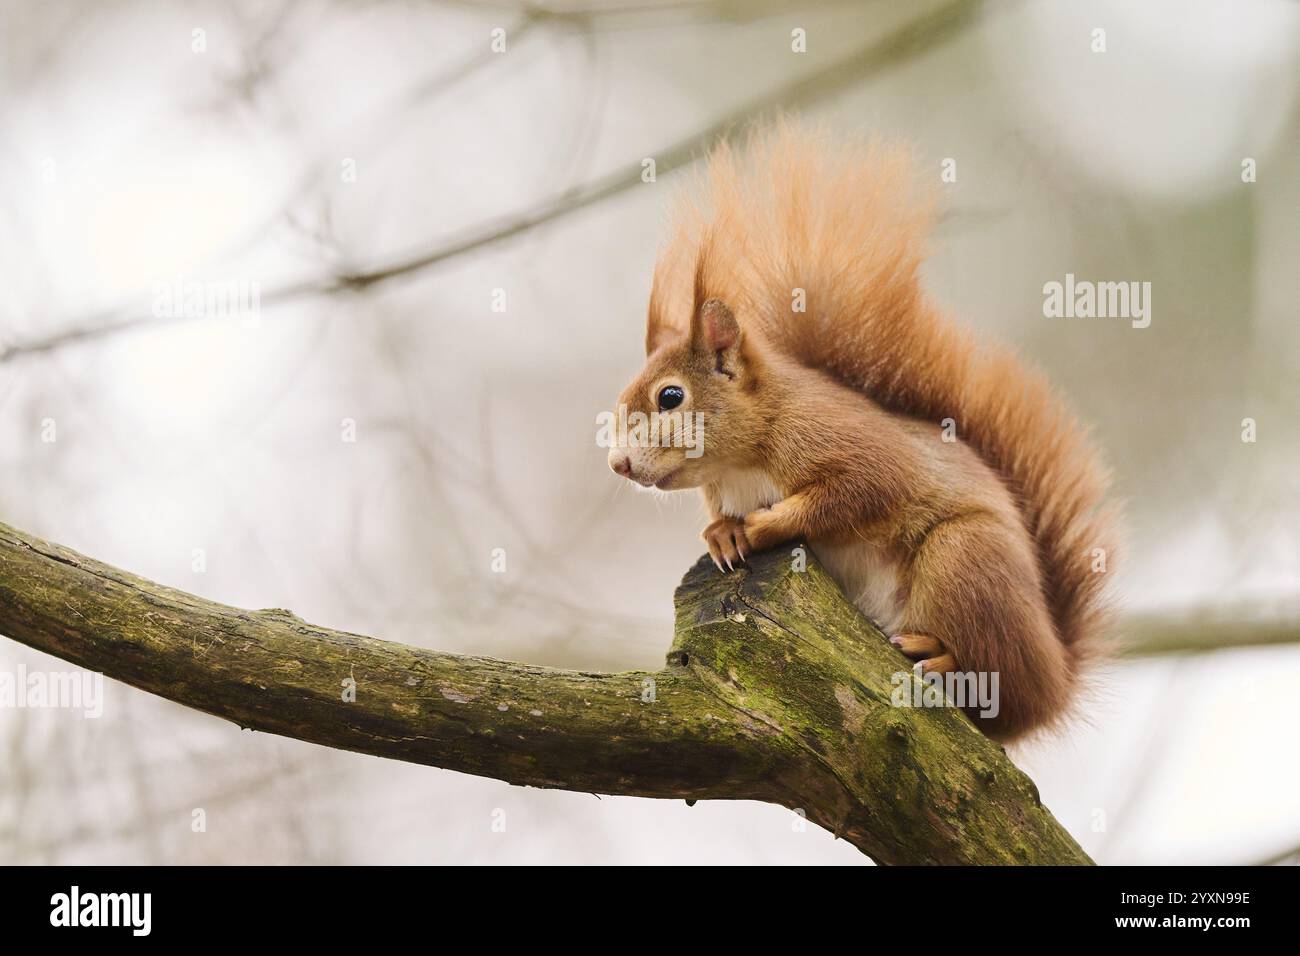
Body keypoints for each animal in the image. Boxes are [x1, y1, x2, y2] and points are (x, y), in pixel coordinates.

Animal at [606, 120, 1119, 742]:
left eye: (671, 397)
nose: (617, 464)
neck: (741, 461)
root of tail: (1057, 680)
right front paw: (723, 534)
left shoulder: (846, 445)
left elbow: (859, 492)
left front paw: (765, 524)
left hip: (965, 558)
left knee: (1002, 686)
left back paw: (943, 660)